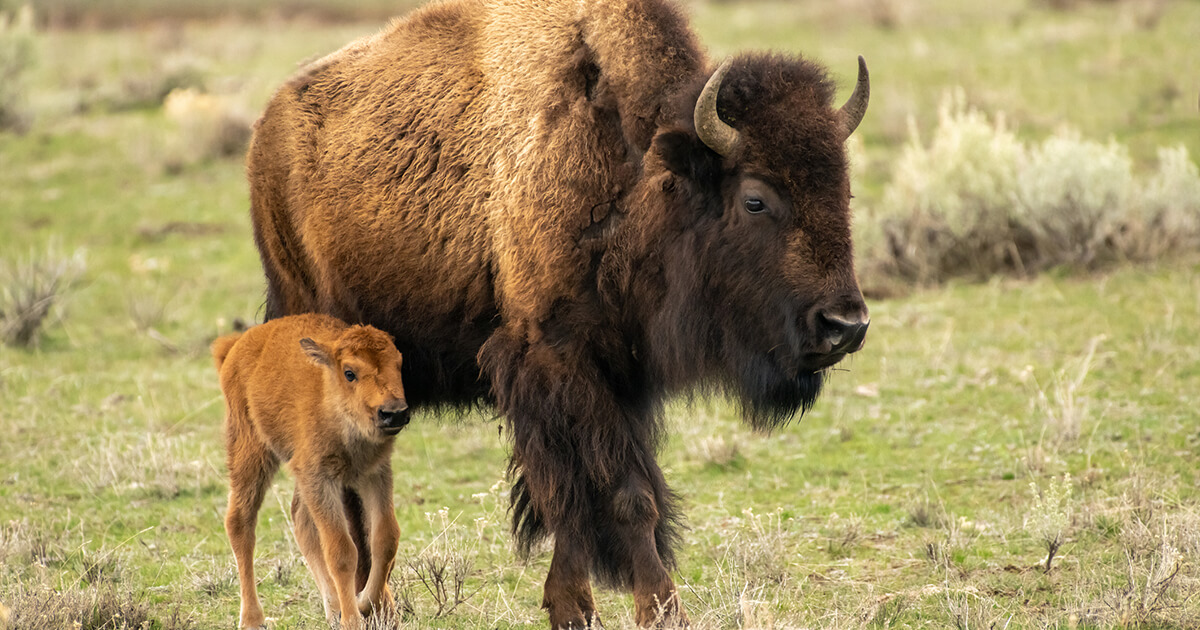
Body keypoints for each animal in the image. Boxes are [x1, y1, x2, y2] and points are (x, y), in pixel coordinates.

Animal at [247, 0, 870, 626]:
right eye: (755, 199)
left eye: (845, 191)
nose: (846, 326)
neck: (635, 170)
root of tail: (266, 132)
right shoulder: (553, 361)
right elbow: (608, 496)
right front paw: (639, 608)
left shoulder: (614, 376)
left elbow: (600, 495)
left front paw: (597, 606)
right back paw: (373, 606)